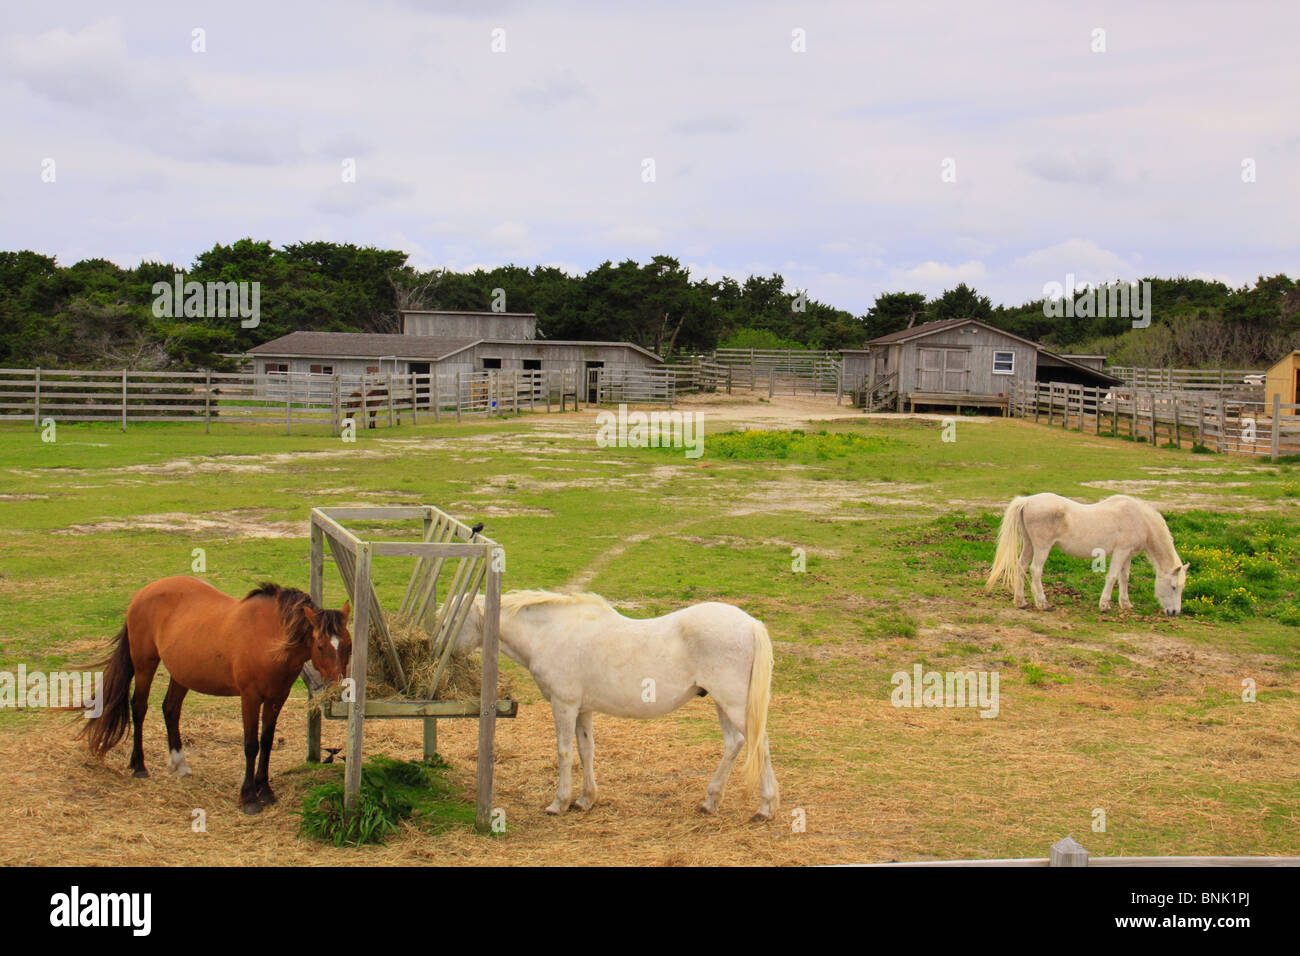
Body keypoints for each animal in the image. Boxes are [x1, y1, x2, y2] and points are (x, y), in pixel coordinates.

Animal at [79, 576, 352, 814]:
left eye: (348, 645)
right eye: (320, 646)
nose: (339, 688)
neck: (270, 637)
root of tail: (144, 593)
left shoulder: (277, 698)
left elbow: (266, 742)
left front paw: (265, 790)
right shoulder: (250, 697)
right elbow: (251, 745)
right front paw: (249, 797)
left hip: (182, 673)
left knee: (170, 709)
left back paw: (179, 764)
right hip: (145, 663)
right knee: (139, 707)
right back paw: (138, 766)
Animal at [450, 589, 780, 821]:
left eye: (454, 617)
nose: (441, 649)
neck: (552, 633)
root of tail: (750, 623)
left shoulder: (564, 705)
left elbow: (564, 752)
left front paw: (559, 803)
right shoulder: (582, 709)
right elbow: (586, 750)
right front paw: (585, 800)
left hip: (734, 702)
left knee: (759, 742)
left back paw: (765, 808)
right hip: (722, 702)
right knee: (735, 743)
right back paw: (710, 802)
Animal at [986, 493, 1189, 615]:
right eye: (1173, 587)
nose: (1174, 612)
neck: (1139, 519)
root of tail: (1027, 501)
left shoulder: (1128, 554)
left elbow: (1124, 578)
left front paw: (1126, 604)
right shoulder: (1120, 551)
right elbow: (1112, 576)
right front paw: (1105, 605)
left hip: (1029, 544)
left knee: (1021, 567)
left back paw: (1021, 601)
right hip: (1042, 547)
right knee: (1035, 570)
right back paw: (1043, 603)